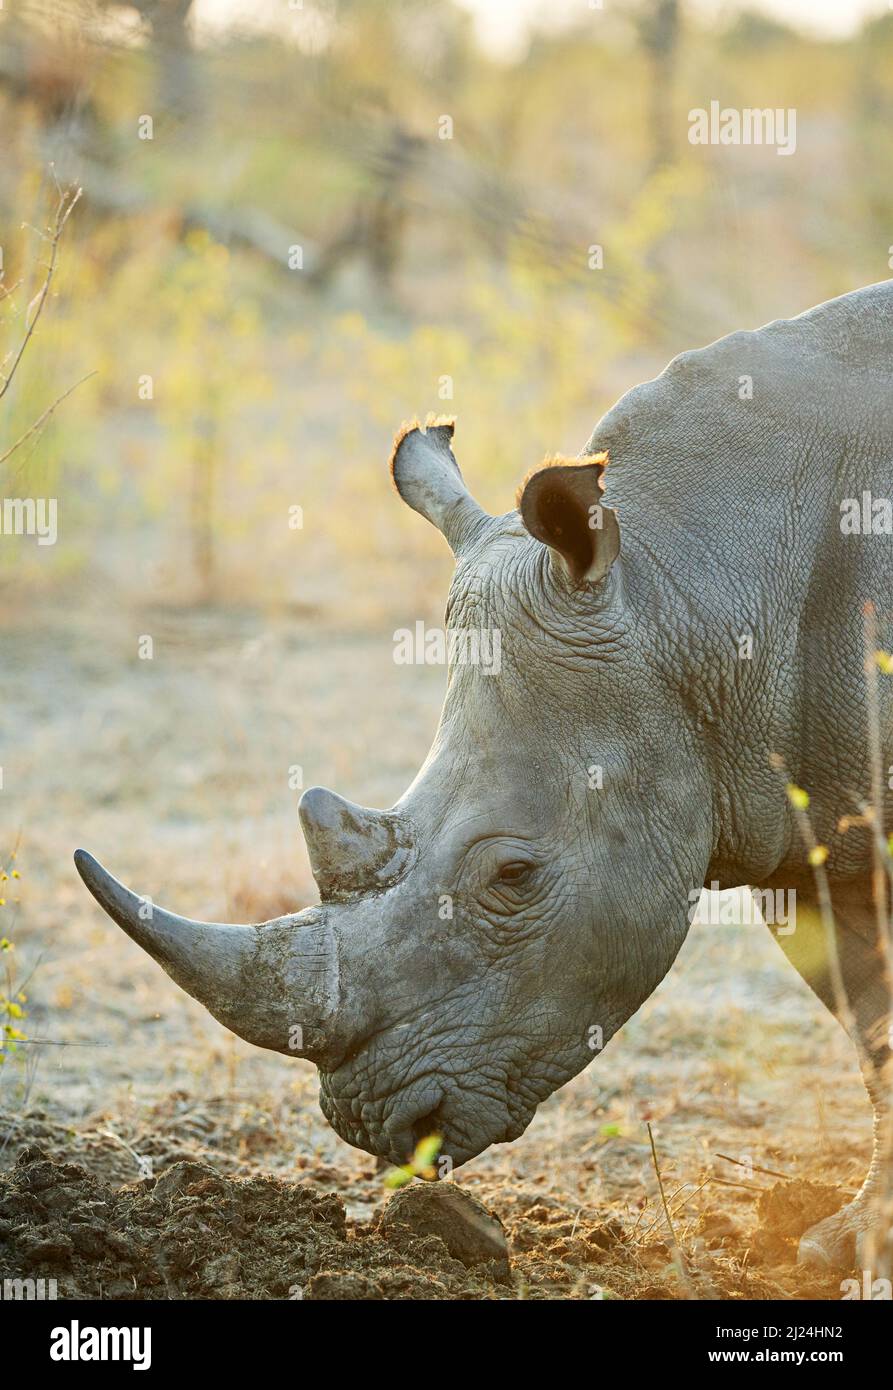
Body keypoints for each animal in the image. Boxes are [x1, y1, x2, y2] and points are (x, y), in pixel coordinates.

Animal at [76, 280, 893, 1269]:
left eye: (513, 875)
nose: (375, 1124)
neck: (694, 589)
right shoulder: (792, 817)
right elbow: (871, 1026)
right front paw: (850, 1245)